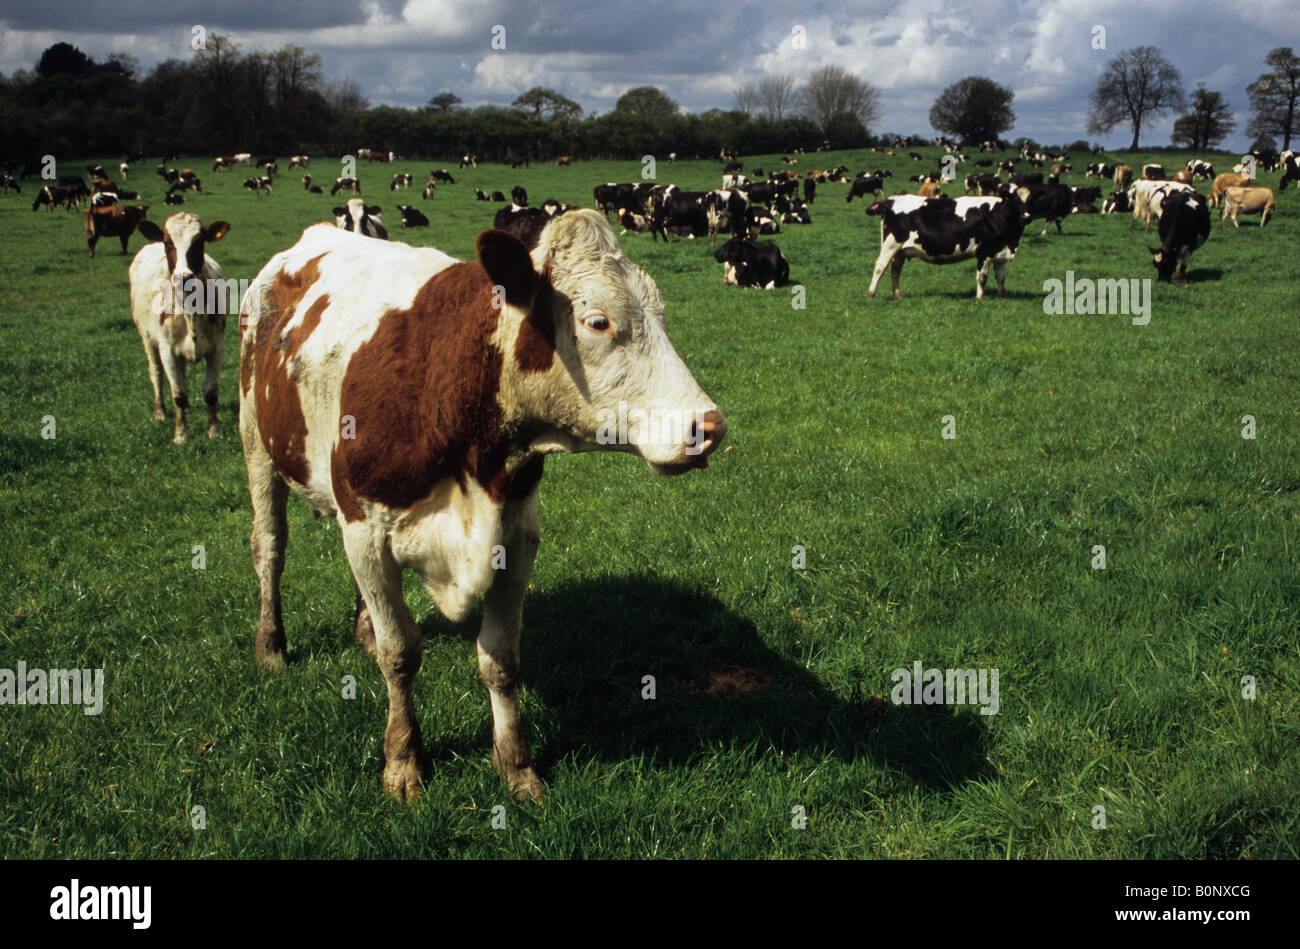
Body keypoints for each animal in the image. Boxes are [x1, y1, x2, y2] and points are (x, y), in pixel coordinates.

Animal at [129, 212, 231, 441]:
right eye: (168, 243)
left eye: (199, 242)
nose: (184, 277)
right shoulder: (167, 350)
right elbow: (178, 393)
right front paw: (181, 434)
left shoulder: (217, 348)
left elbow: (211, 392)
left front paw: (214, 430)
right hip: (147, 339)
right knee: (157, 373)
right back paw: (160, 412)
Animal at [235, 211, 725, 801]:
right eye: (598, 322)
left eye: (661, 315)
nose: (709, 427)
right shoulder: (366, 530)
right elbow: (401, 654)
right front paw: (403, 760)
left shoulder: (516, 537)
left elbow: (500, 659)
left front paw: (516, 765)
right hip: (256, 441)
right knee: (269, 548)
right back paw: (271, 646)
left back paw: (363, 630)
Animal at [864, 194, 1030, 300]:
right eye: (1015, 206)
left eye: (1028, 204)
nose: (1025, 217)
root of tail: (890, 200)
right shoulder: (984, 252)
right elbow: (982, 277)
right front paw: (980, 298)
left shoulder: (1000, 254)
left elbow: (1001, 278)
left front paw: (1003, 296)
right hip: (890, 245)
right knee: (880, 267)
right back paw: (871, 295)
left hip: (900, 251)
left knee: (895, 270)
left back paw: (897, 296)